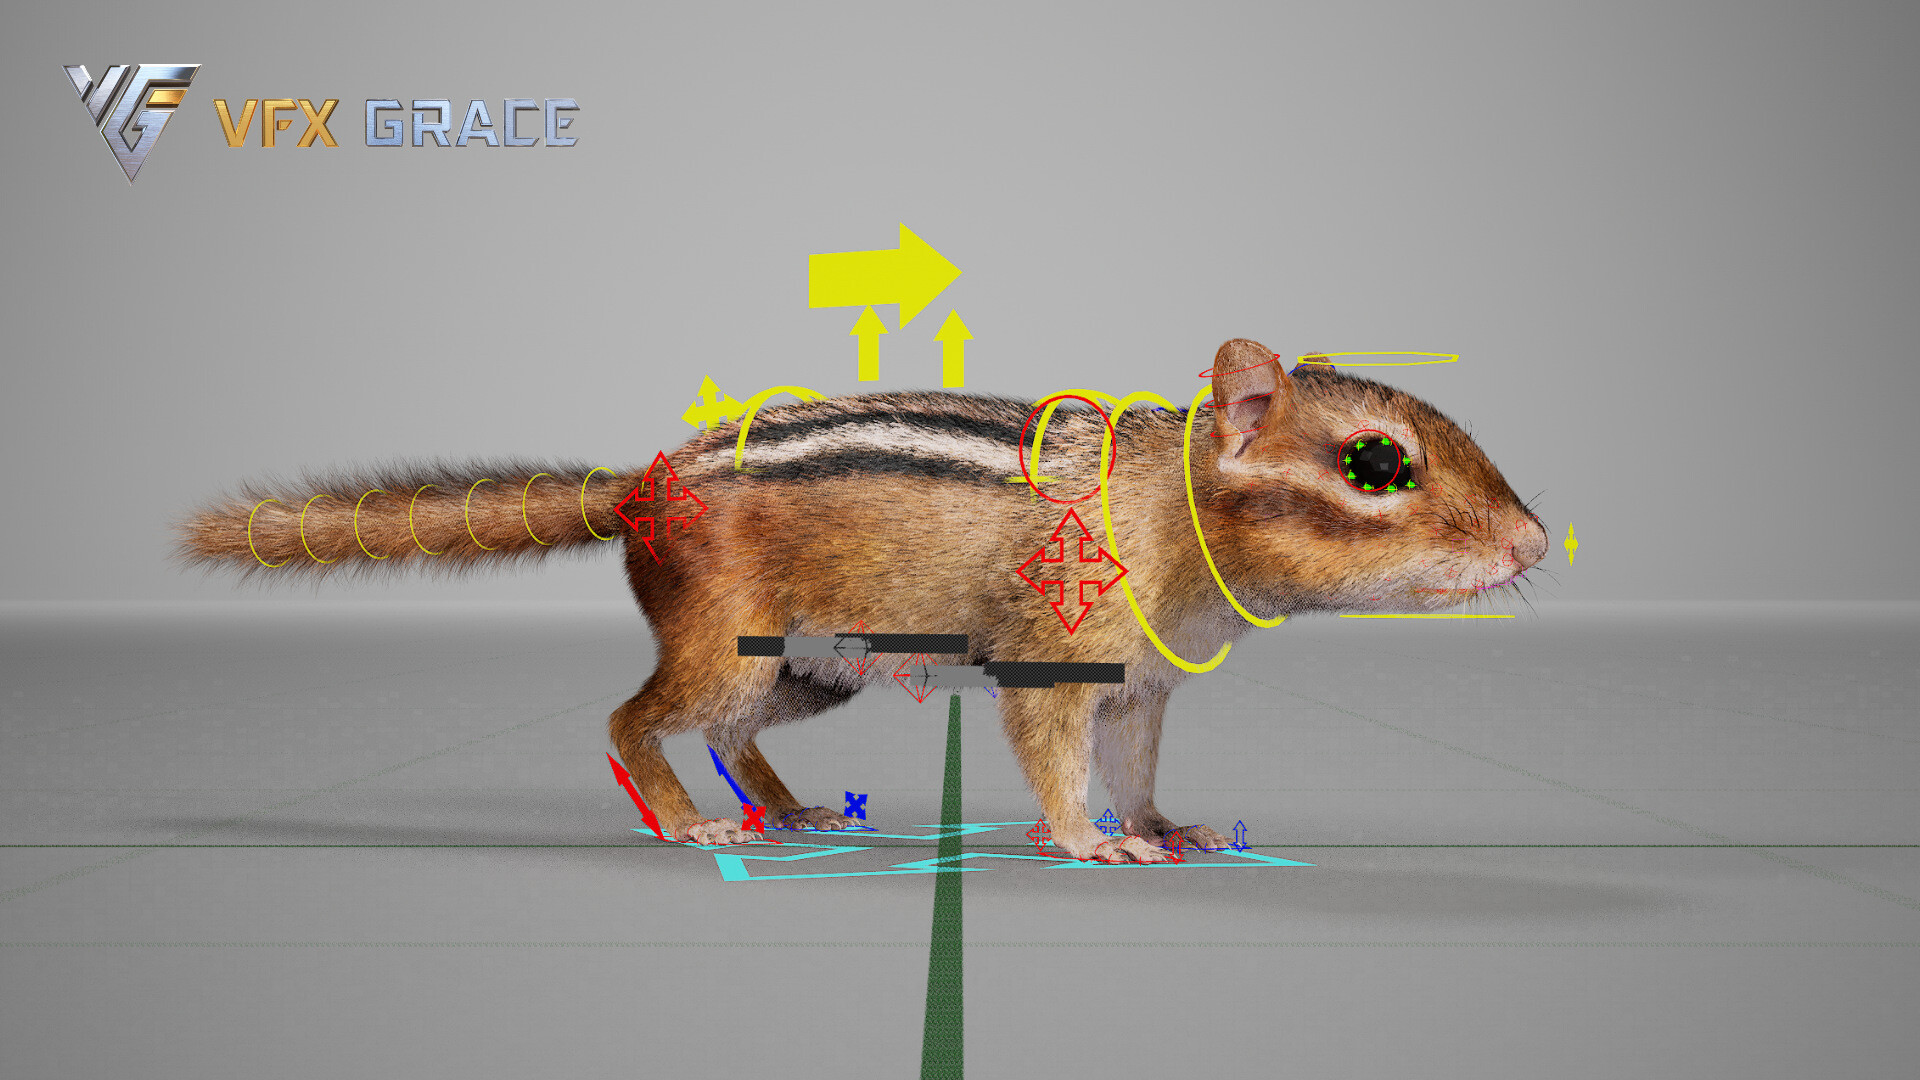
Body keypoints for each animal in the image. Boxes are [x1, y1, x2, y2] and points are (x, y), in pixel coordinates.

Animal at [177, 338, 1548, 863]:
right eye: (1375, 463)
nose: (1537, 540)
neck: (1171, 511)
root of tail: (637, 486)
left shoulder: (1145, 684)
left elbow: (1141, 760)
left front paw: (1167, 825)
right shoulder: (1059, 659)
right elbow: (1056, 758)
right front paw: (1090, 840)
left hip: (811, 671)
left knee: (732, 732)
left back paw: (789, 810)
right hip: (729, 646)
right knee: (639, 721)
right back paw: (691, 824)